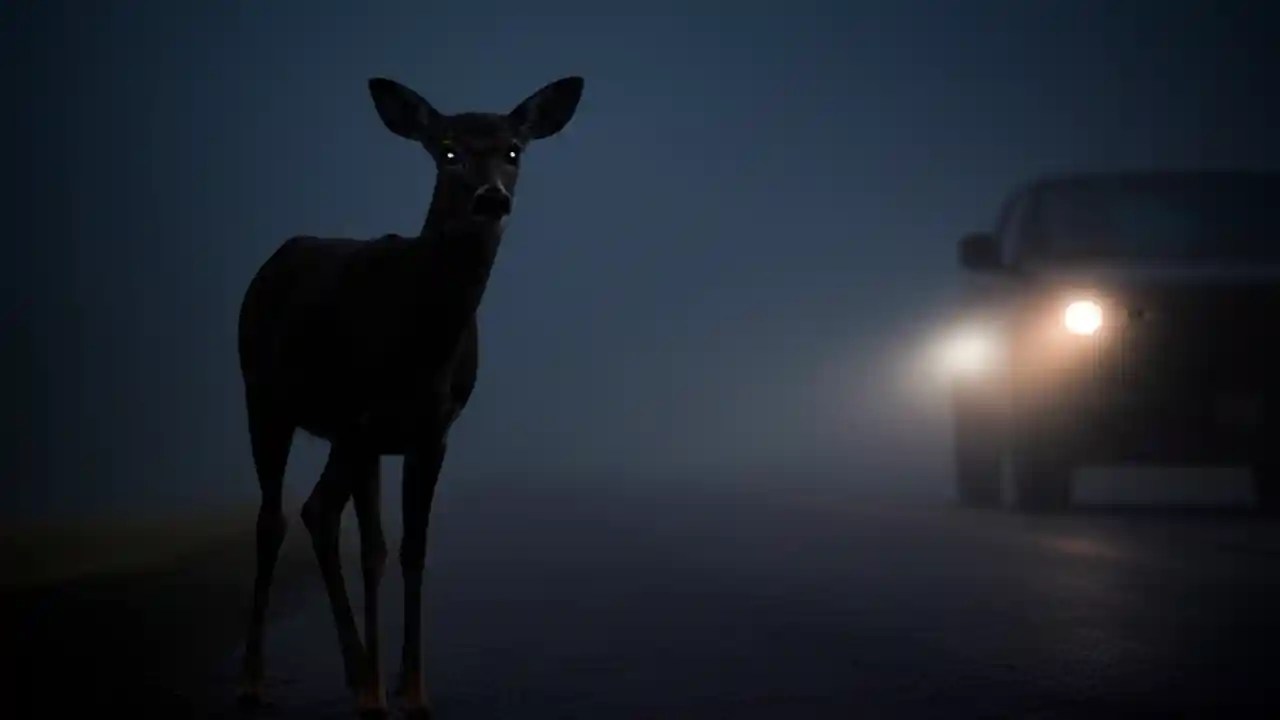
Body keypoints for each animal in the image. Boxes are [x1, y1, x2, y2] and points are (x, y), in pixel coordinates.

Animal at [235, 74, 584, 718]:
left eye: (513, 150)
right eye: (446, 150)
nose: (491, 199)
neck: (422, 346)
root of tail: (273, 261)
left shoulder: (430, 431)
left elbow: (412, 547)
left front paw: (413, 689)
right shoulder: (362, 417)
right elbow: (374, 547)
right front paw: (381, 692)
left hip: (341, 435)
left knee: (321, 513)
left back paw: (357, 671)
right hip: (264, 398)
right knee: (276, 517)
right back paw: (256, 679)